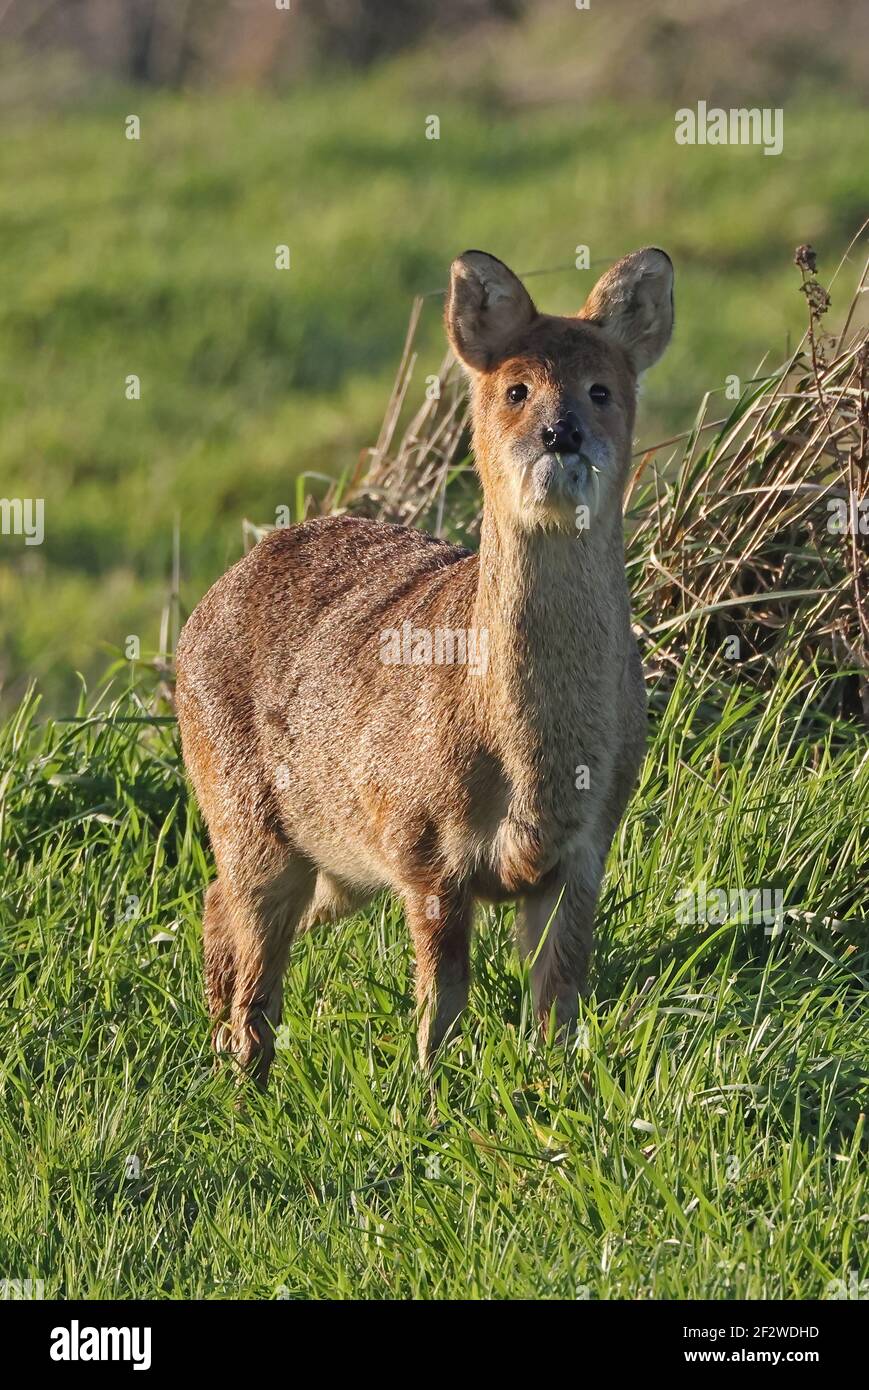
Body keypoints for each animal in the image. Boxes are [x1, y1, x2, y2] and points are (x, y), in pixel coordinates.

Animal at [175, 246, 674, 1089]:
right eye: (515, 388)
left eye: (601, 389)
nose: (560, 432)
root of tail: (200, 611)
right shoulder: (421, 846)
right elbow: (441, 1001)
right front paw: (427, 1094)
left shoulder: (586, 848)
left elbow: (557, 1001)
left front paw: (553, 1091)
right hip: (247, 815)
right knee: (249, 950)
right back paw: (243, 1079)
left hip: (334, 859)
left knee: (219, 909)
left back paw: (222, 1057)